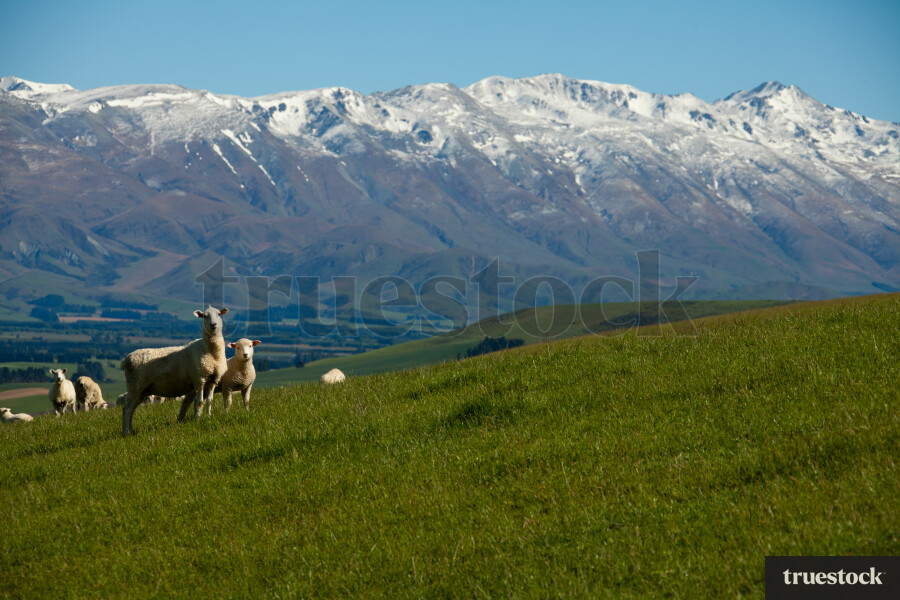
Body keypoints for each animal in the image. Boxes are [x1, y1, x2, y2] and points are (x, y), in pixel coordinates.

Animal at [120, 306, 228, 436]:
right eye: (204, 316)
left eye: (219, 314)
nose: (213, 325)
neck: (209, 351)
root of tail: (126, 359)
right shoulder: (199, 380)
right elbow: (199, 402)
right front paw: (197, 421)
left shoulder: (212, 380)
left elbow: (209, 401)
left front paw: (208, 418)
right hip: (135, 385)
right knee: (127, 408)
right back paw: (125, 433)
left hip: (140, 390)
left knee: (132, 409)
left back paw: (131, 431)